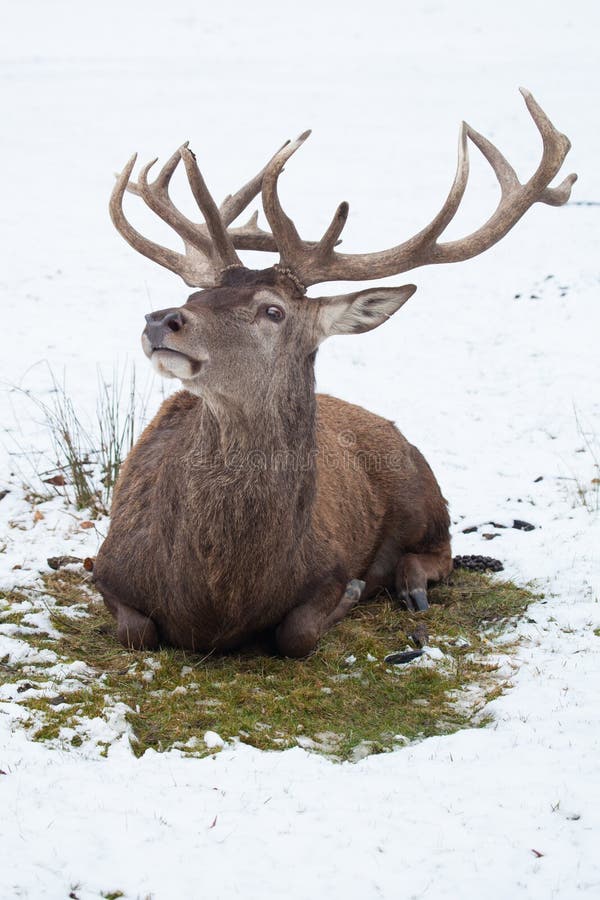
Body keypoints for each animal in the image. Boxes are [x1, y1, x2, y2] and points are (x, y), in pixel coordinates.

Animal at [94, 89, 576, 657]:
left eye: (273, 310)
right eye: (195, 294)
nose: (160, 320)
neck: (218, 596)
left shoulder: (327, 567)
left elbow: (297, 633)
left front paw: (352, 592)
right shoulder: (106, 570)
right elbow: (137, 632)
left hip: (425, 494)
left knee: (443, 551)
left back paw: (410, 586)